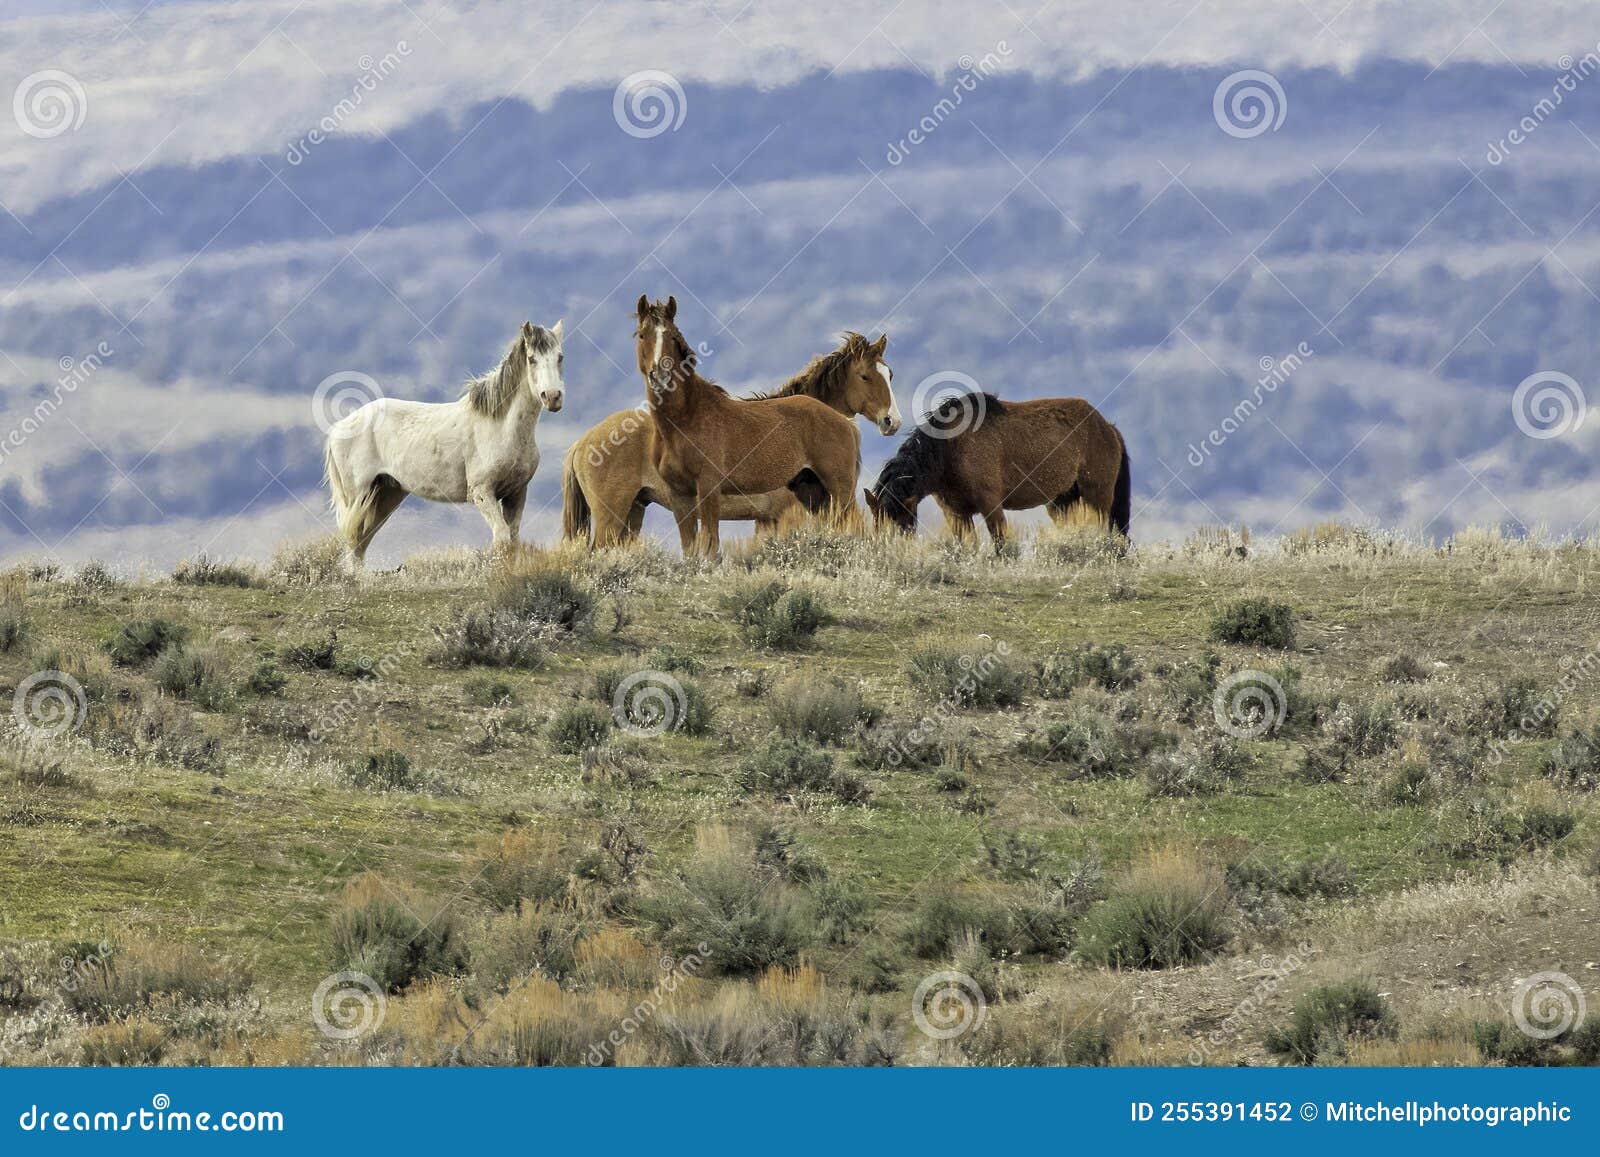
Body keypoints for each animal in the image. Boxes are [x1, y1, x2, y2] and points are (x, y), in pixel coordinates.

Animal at [323, 320, 566, 570]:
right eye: (532, 358)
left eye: (560, 357)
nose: (552, 397)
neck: (500, 427)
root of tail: (339, 427)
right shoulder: (482, 493)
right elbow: (502, 537)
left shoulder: (516, 493)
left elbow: (512, 538)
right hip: (357, 496)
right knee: (353, 542)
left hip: (386, 495)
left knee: (361, 542)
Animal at [562, 330, 899, 548]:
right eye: (866, 375)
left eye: (890, 374)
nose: (892, 421)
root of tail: (582, 443)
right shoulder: (784, 517)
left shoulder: (766, 520)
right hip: (612, 516)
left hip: (633, 511)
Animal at [633, 295, 862, 556]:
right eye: (642, 335)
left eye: (671, 335)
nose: (660, 375)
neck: (686, 420)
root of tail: (845, 422)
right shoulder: (679, 494)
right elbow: (690, 548)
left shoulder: (708, 488)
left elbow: (710, 546)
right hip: (812, 490)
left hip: (840, 487)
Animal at [864, 392, 1130, 551]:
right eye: (876, 524)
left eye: (901, 524)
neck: (950, 448)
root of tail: (1108, 427)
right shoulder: (955, 513)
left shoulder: (991, 505)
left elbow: (1001, 544)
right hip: (1061, 502)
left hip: (1097, 497)